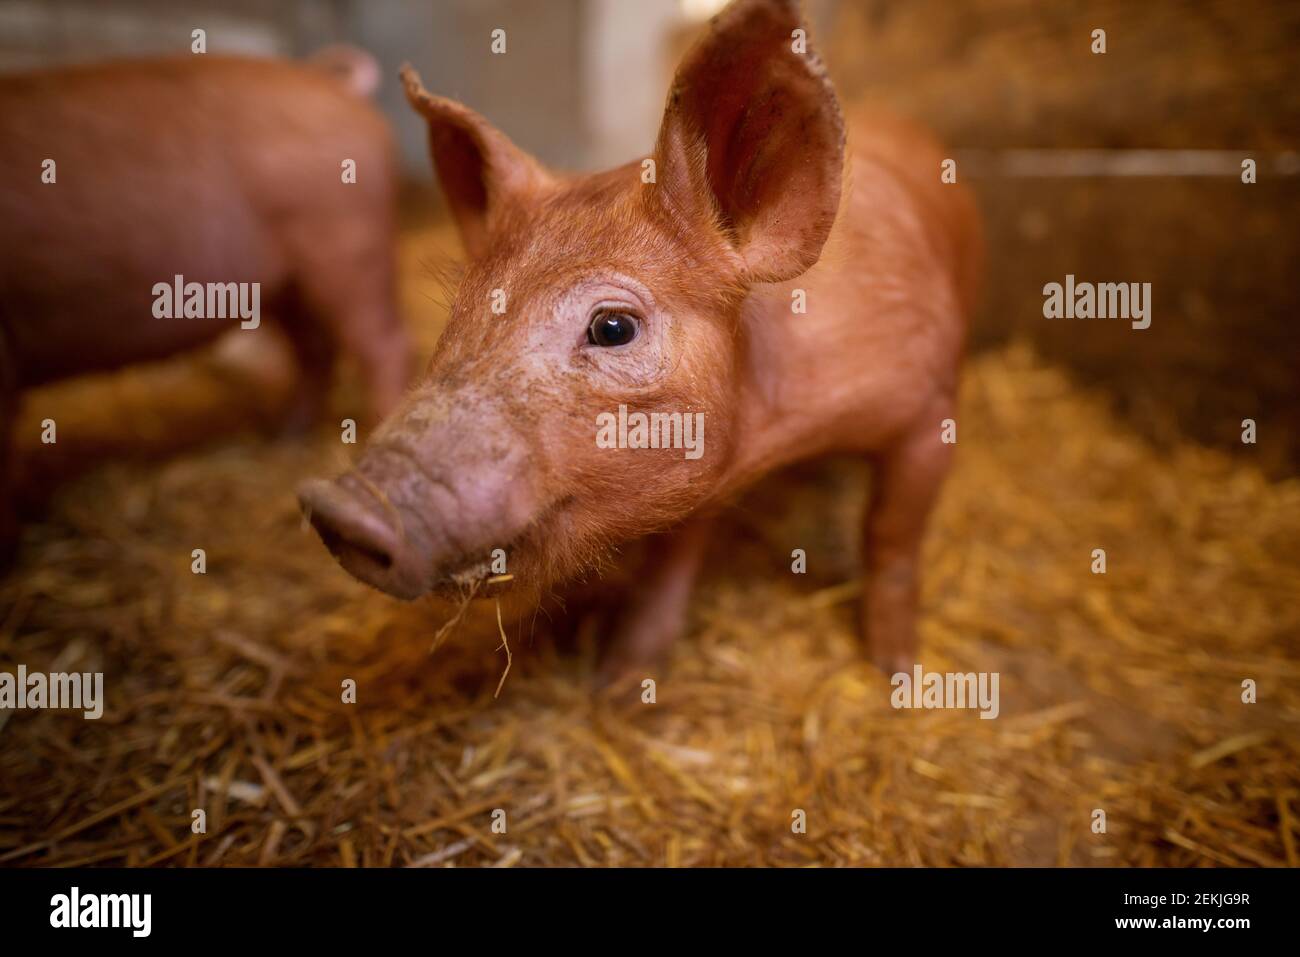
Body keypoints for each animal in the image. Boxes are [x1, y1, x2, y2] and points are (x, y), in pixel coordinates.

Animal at [0, 48, 410, 553]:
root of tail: (324, 77)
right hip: (287, 281)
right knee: (315, 347)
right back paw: (282, 434)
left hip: (348, 244)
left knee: (384, 343)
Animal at [299, 0, 982, 680]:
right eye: (462, 309)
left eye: (613, 327)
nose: (340, 509)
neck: (774, 435)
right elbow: (674, 553)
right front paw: (622, 676)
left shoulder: (929, 410)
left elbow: (890, 537)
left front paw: (897, 669)